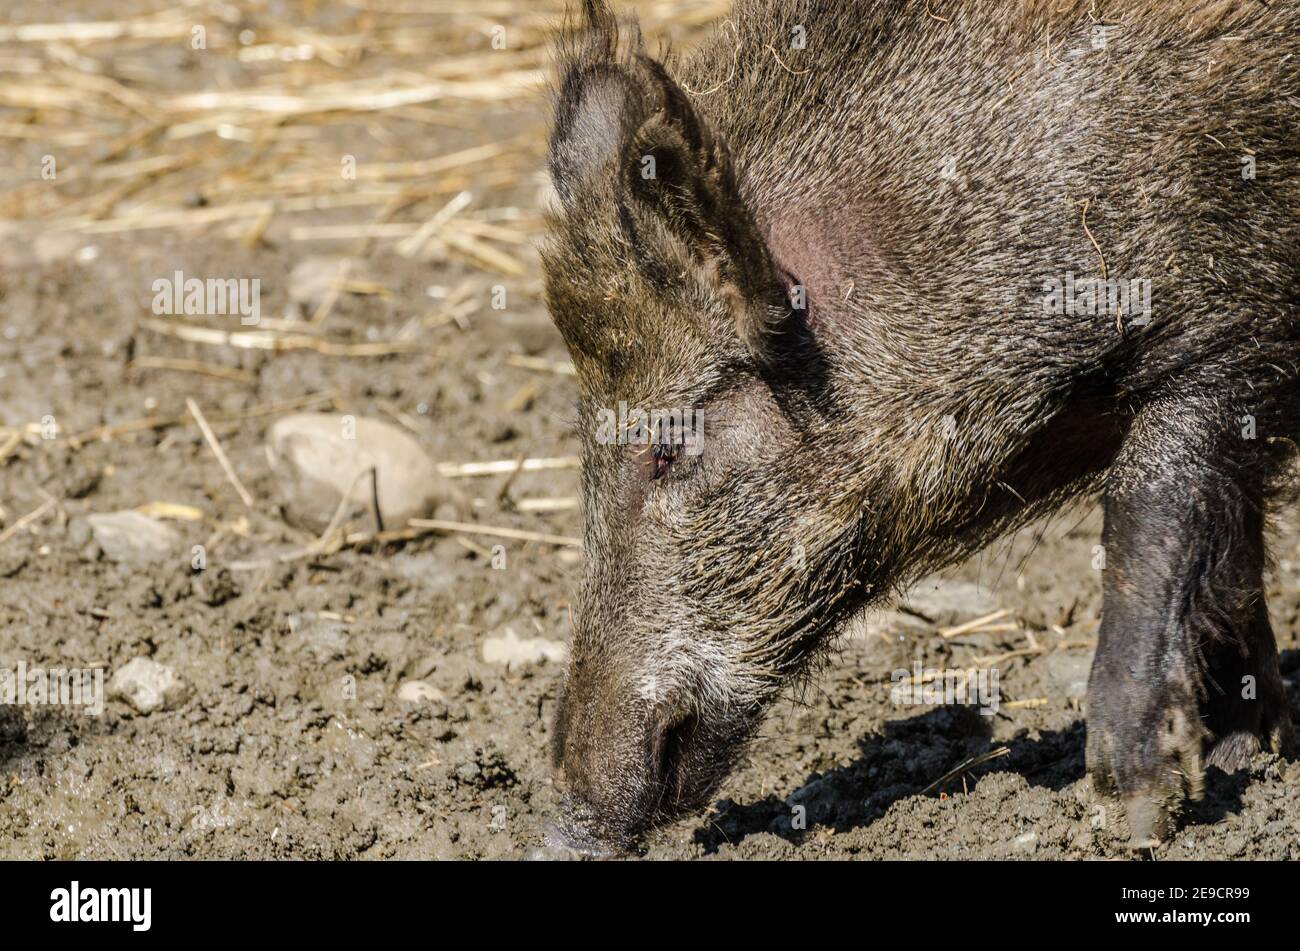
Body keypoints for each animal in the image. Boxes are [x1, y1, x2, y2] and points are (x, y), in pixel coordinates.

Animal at [541, 0, 1300, 853]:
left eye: (669, 448)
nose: (567, 826)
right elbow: (1232, 556)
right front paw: (1246, 752)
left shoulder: (1234, 332)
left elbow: (1153, 519)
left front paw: (1134, 815)